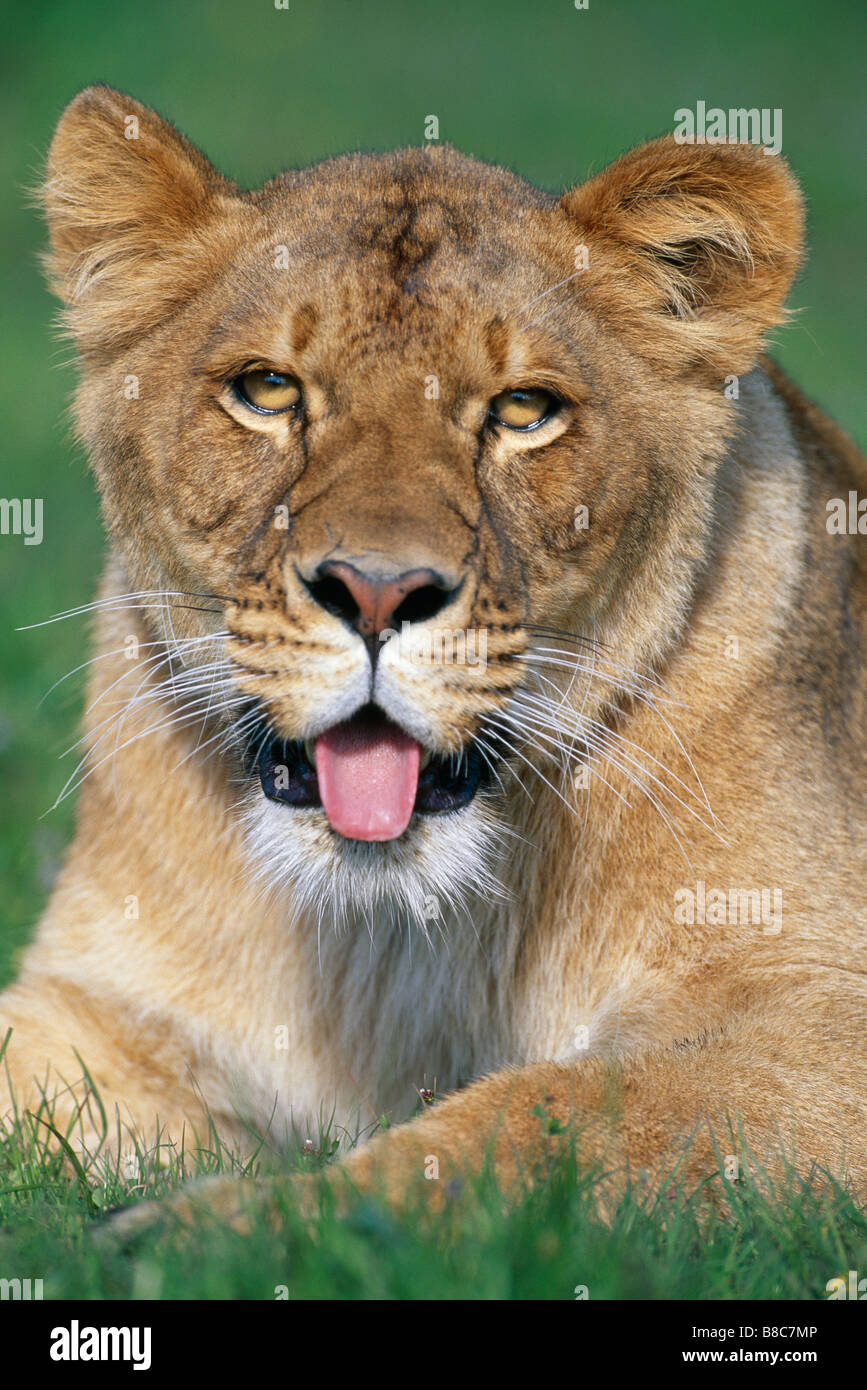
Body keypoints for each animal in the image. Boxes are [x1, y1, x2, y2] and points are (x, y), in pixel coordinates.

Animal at [1, 85, 864, 1218]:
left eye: (524, 409)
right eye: (268, 390)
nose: (376, 591)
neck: (389, 940)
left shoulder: (816, 1016)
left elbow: (534, 1117)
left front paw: (217, 1227)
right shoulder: (103, 1007)